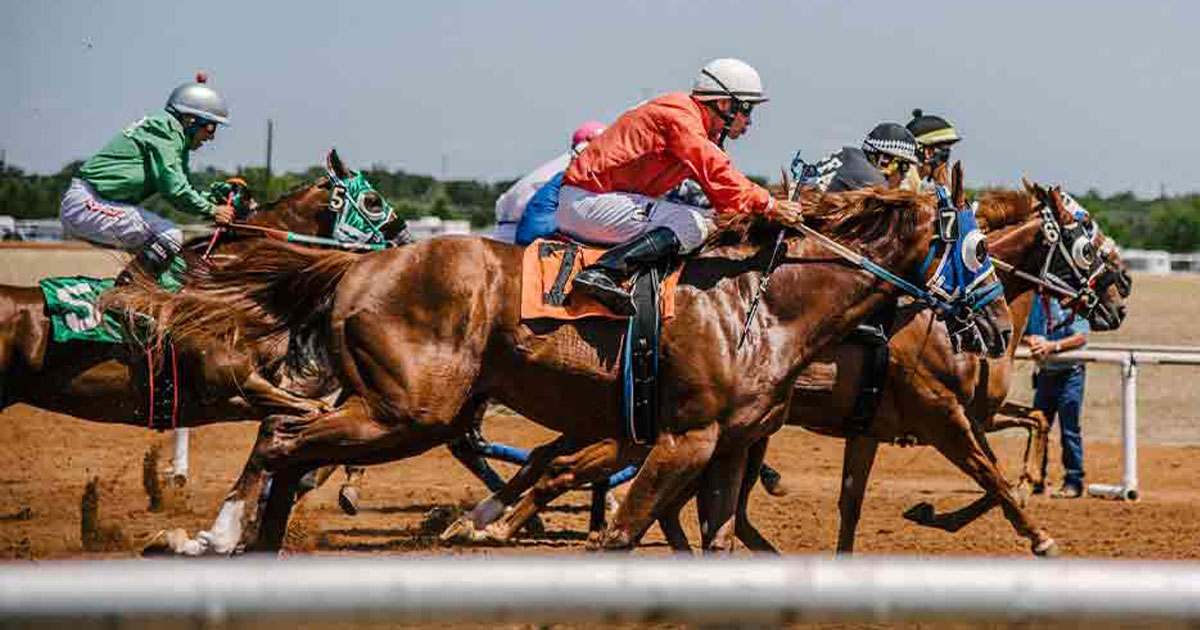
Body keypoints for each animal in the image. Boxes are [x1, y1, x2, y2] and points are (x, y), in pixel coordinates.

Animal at [129, 164, 1013, 555]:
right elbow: (618, 531)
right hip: (410, 411)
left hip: (399, 406)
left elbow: (715, 540)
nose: (999, 329)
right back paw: (223, 536)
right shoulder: (683, 438)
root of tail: (361, 265)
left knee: (289, 446)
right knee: (285, 442)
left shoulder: (725, 446)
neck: (763, 304)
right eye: (976, 248)